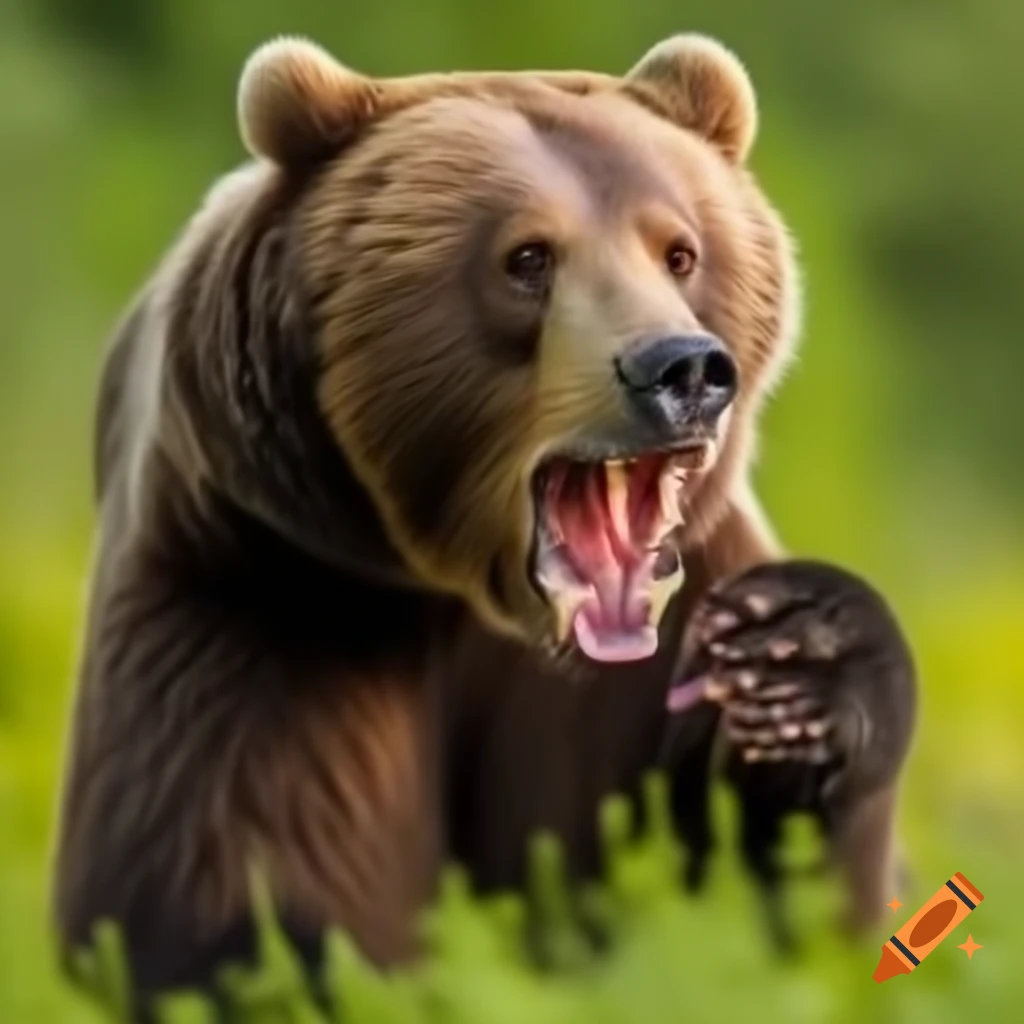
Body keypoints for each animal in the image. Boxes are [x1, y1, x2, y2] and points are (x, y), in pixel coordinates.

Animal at [51, 31, 914, 1018]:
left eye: (680, 252)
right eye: (528, 257)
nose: (684, 367)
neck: (475, 597)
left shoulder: (654, 643)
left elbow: (768, 907)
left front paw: (799, 664)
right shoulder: (266, 593)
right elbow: (234, 895)